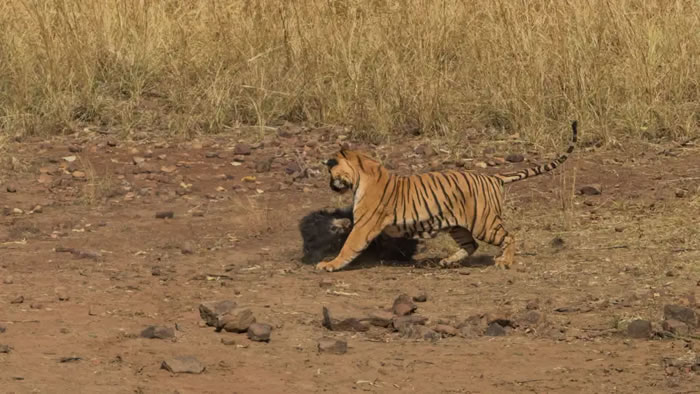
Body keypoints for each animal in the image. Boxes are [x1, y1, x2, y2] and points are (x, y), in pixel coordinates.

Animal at [314, 121, 576, 272]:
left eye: (331, 168)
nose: (329, 184)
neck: (362, 174)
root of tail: (493, 177)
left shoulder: (364, 224)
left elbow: (349, 246)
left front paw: (329, 264)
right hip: (458, 225)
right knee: (471, 245)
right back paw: (448, 262)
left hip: (484, 223)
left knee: (509, 237)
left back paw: (505, 262)